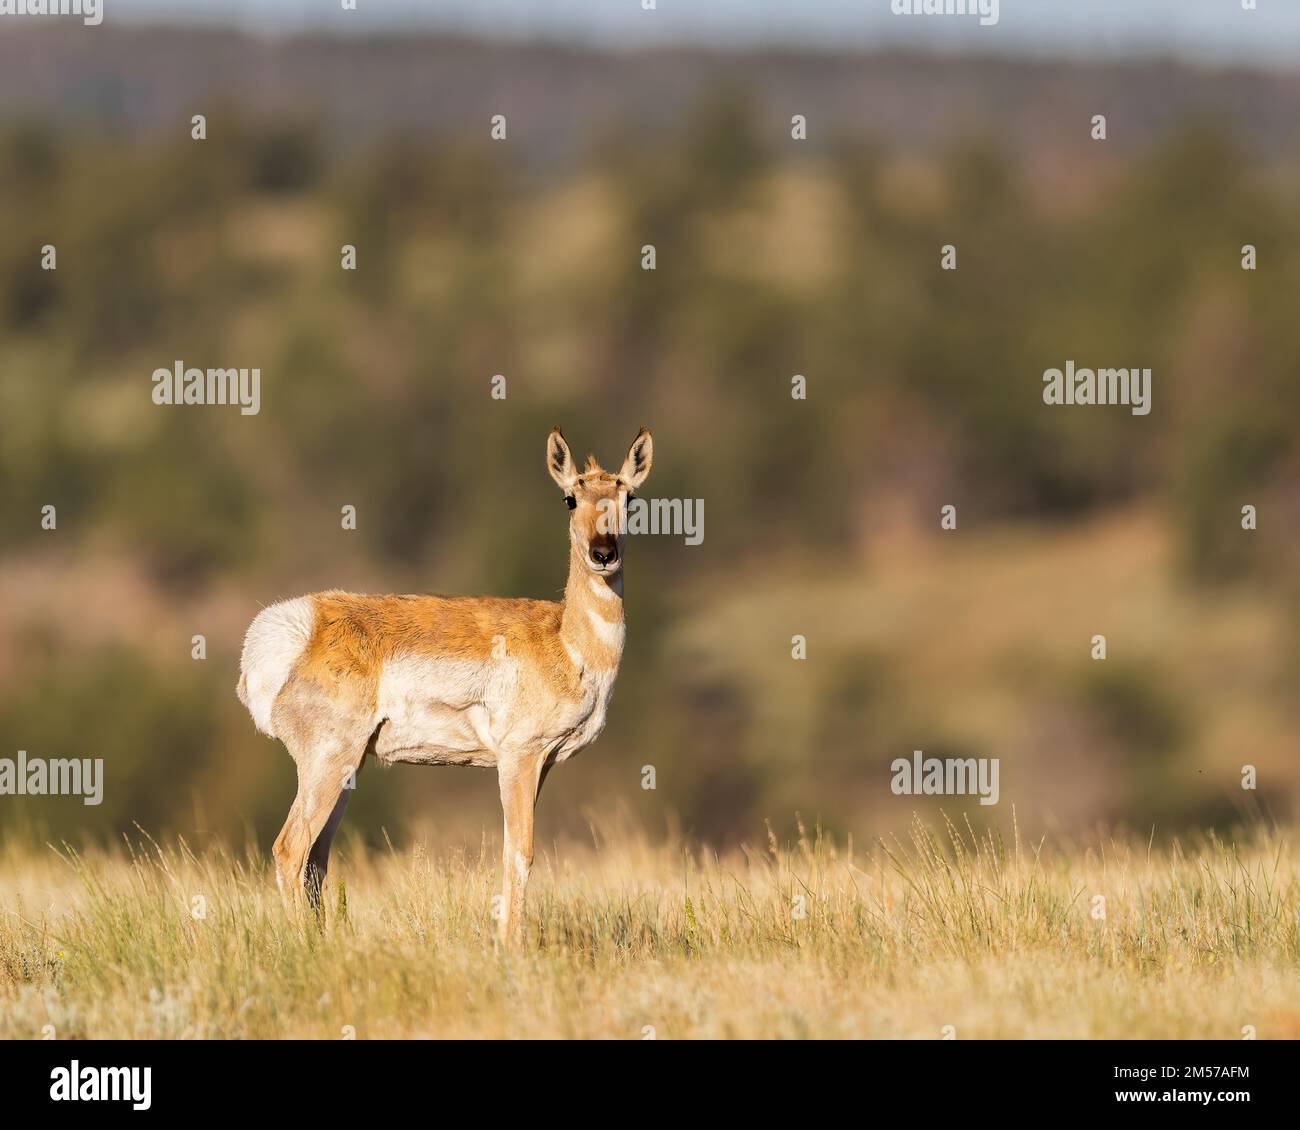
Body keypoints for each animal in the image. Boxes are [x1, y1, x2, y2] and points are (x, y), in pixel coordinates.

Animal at [236, 426, 652, 941]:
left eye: (628, 497)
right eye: (570, 498)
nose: (603, 554)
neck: (564, 638)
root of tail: (296, 625)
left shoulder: (543, 764)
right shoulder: (519, 756)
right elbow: (520, 853)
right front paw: (511, 944)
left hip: (347, 770)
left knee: (315, 860)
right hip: (327, 762)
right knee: (291, 850)